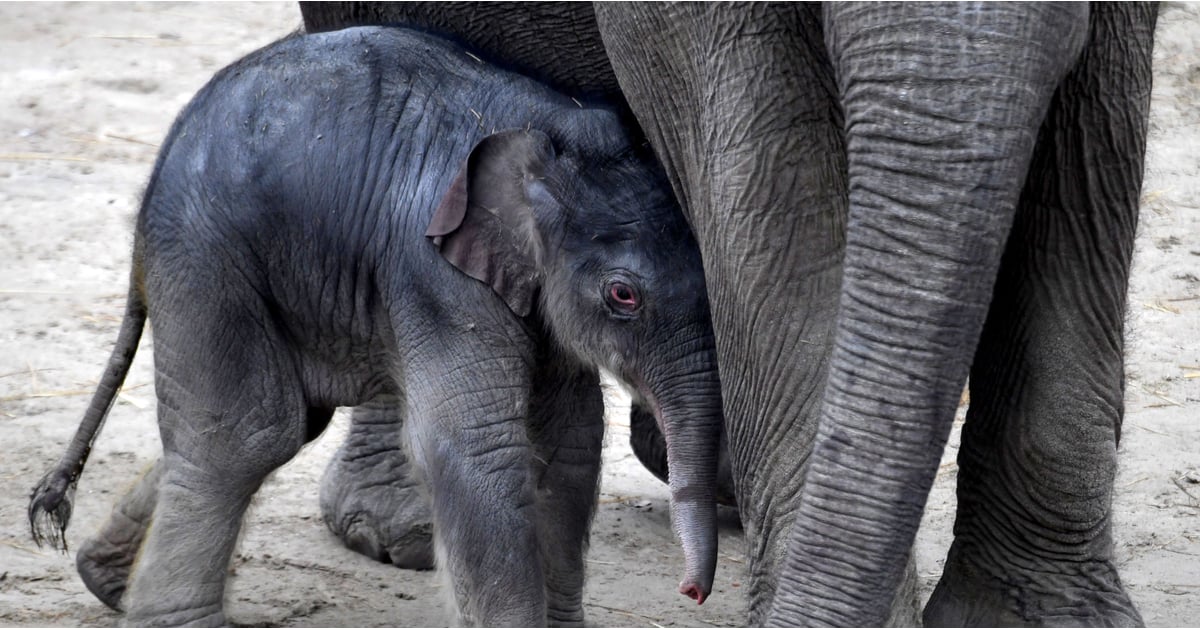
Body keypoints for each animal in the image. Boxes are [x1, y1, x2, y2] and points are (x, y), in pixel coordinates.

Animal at [28, 25, 725, 626]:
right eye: (622, 295)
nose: (690, 593)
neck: (550, 131)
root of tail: (155, 173)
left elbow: (570, 442)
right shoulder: (435, 272)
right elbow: (477, 448)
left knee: (283, 427)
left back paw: (104, 581)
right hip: (208, 259)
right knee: (246, 434)